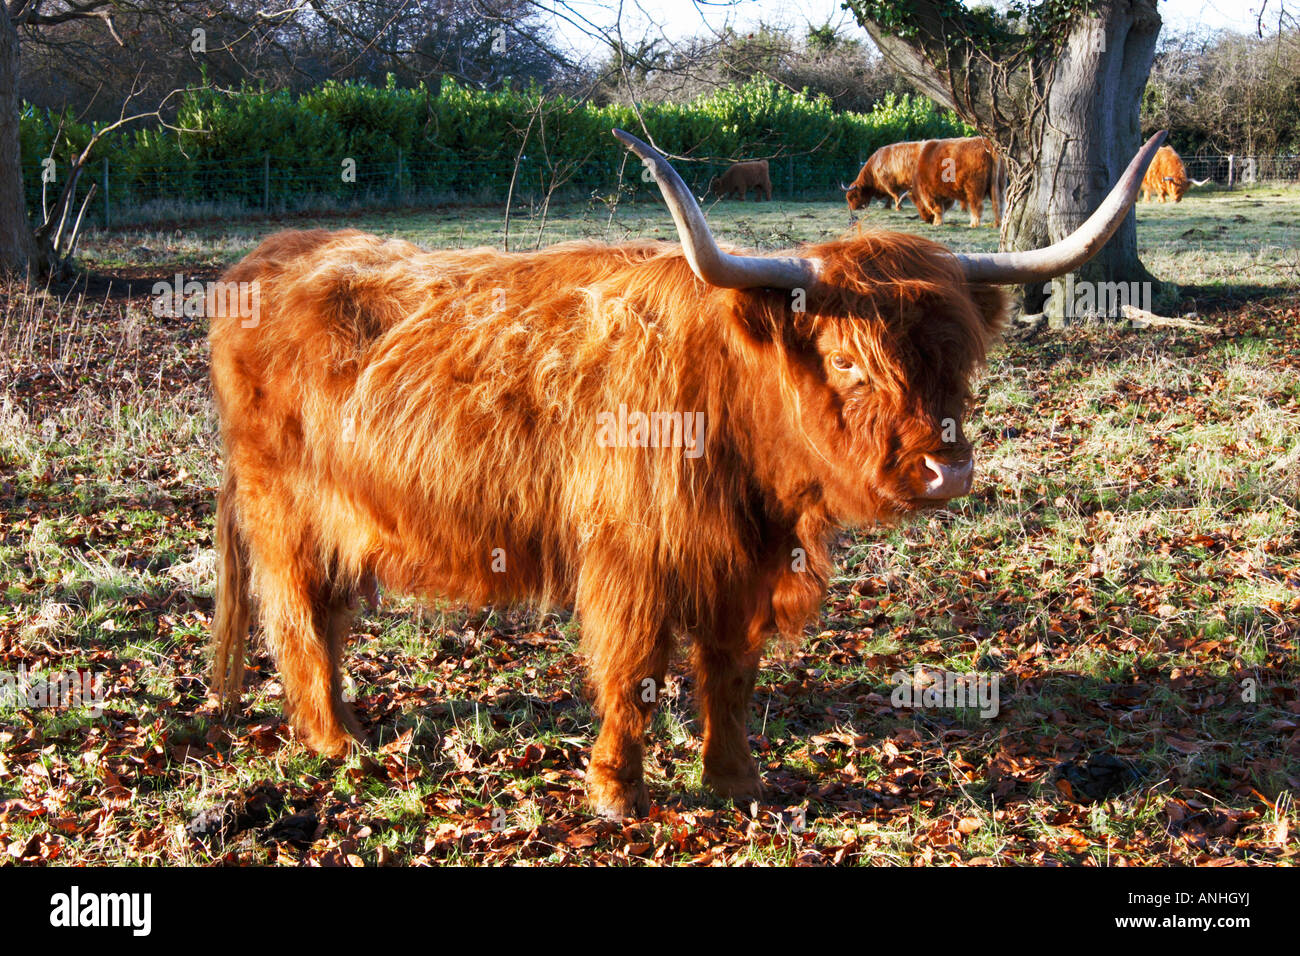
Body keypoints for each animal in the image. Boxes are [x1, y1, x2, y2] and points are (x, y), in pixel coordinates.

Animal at [208, 127, 1167, 819]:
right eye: (848, 363)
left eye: (959, 362)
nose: (947, 470)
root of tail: (265, 261)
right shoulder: (630, 559)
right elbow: (630, 669)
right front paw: (616, 789)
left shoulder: (743, 565)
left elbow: (730, 670)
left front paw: (734, 779)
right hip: (285, 514)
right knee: (298, 618)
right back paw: (335, 740)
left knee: (327, 620)